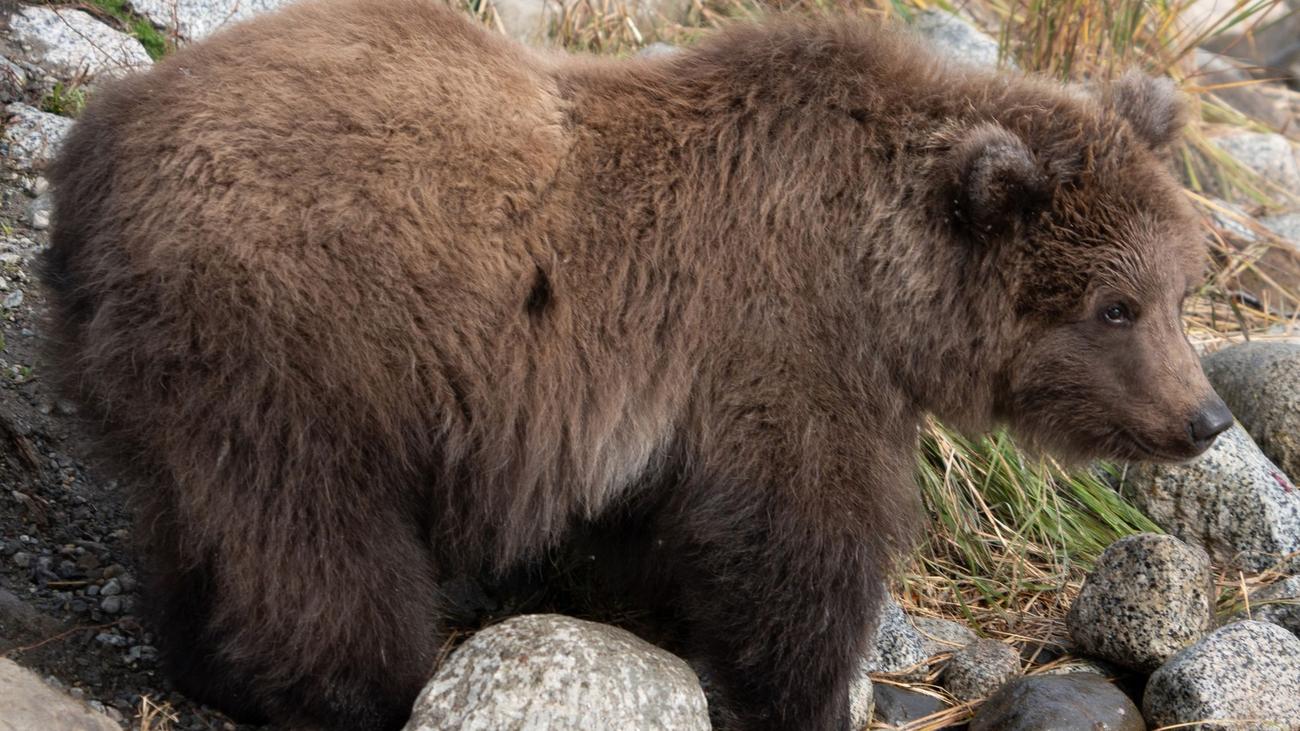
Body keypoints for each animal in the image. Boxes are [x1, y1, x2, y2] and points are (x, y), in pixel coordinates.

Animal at [39, 0, 1233, 728]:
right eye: (1114, 306)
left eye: (1182, 288)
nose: (1206, 416)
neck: (884, 274)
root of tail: (97, 146)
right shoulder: (782, 339)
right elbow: (798, 537)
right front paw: (803, 690)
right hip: (306, 331)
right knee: (311, 531)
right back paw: (356, 681)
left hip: (173, 362)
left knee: (198, 511)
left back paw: (201, 653)